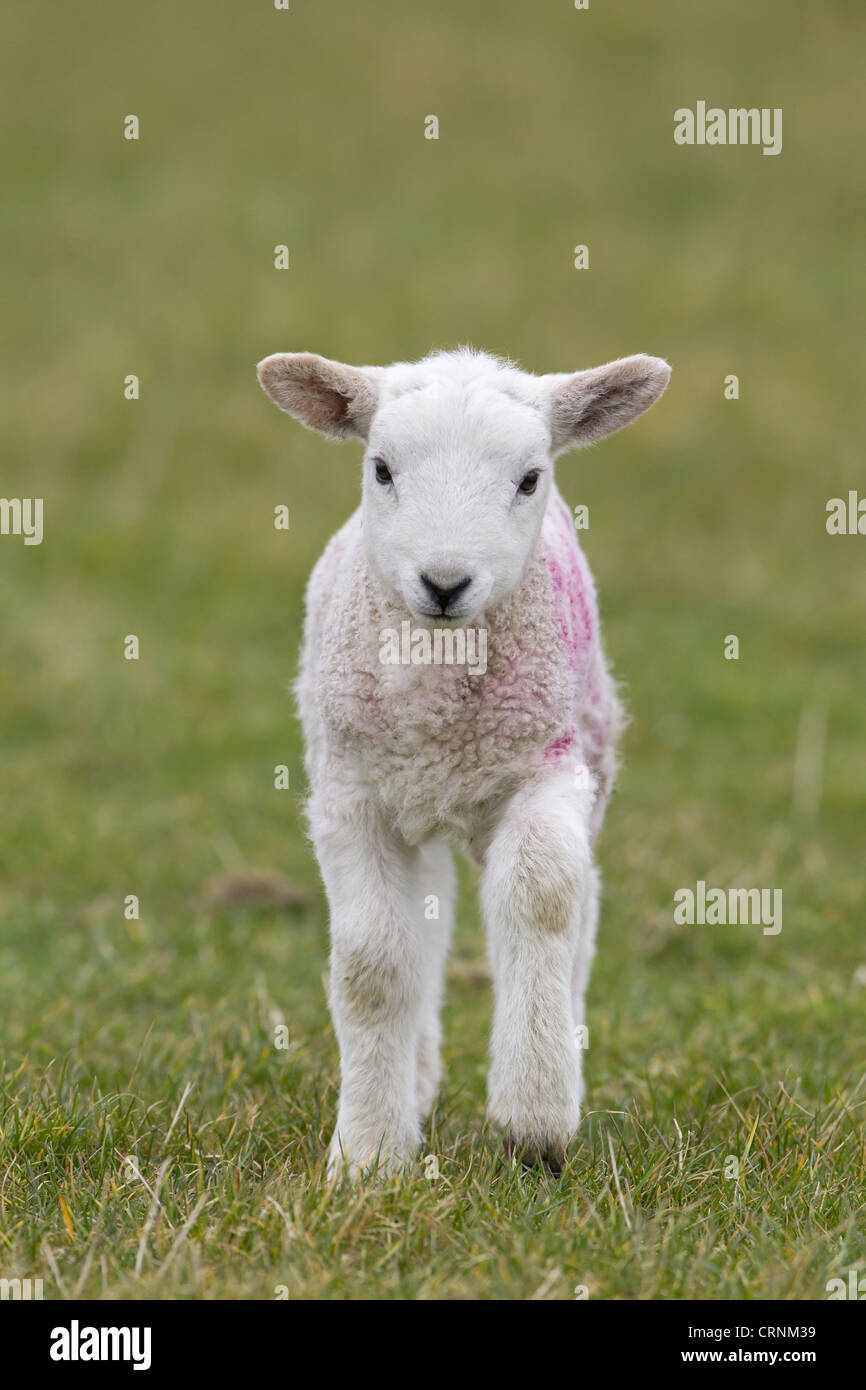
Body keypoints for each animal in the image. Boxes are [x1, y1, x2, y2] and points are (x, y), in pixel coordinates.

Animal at [257, 346, 671, 1176]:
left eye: (530, 478)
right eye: (381, 468)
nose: (444, 583)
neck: (439, 714)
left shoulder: (546, 768)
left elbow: (544, 894)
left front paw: (534, 1117)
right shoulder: (352, 796)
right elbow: (373, 963)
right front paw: (368, 1154)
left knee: (578, 913)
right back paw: (413, 1082)